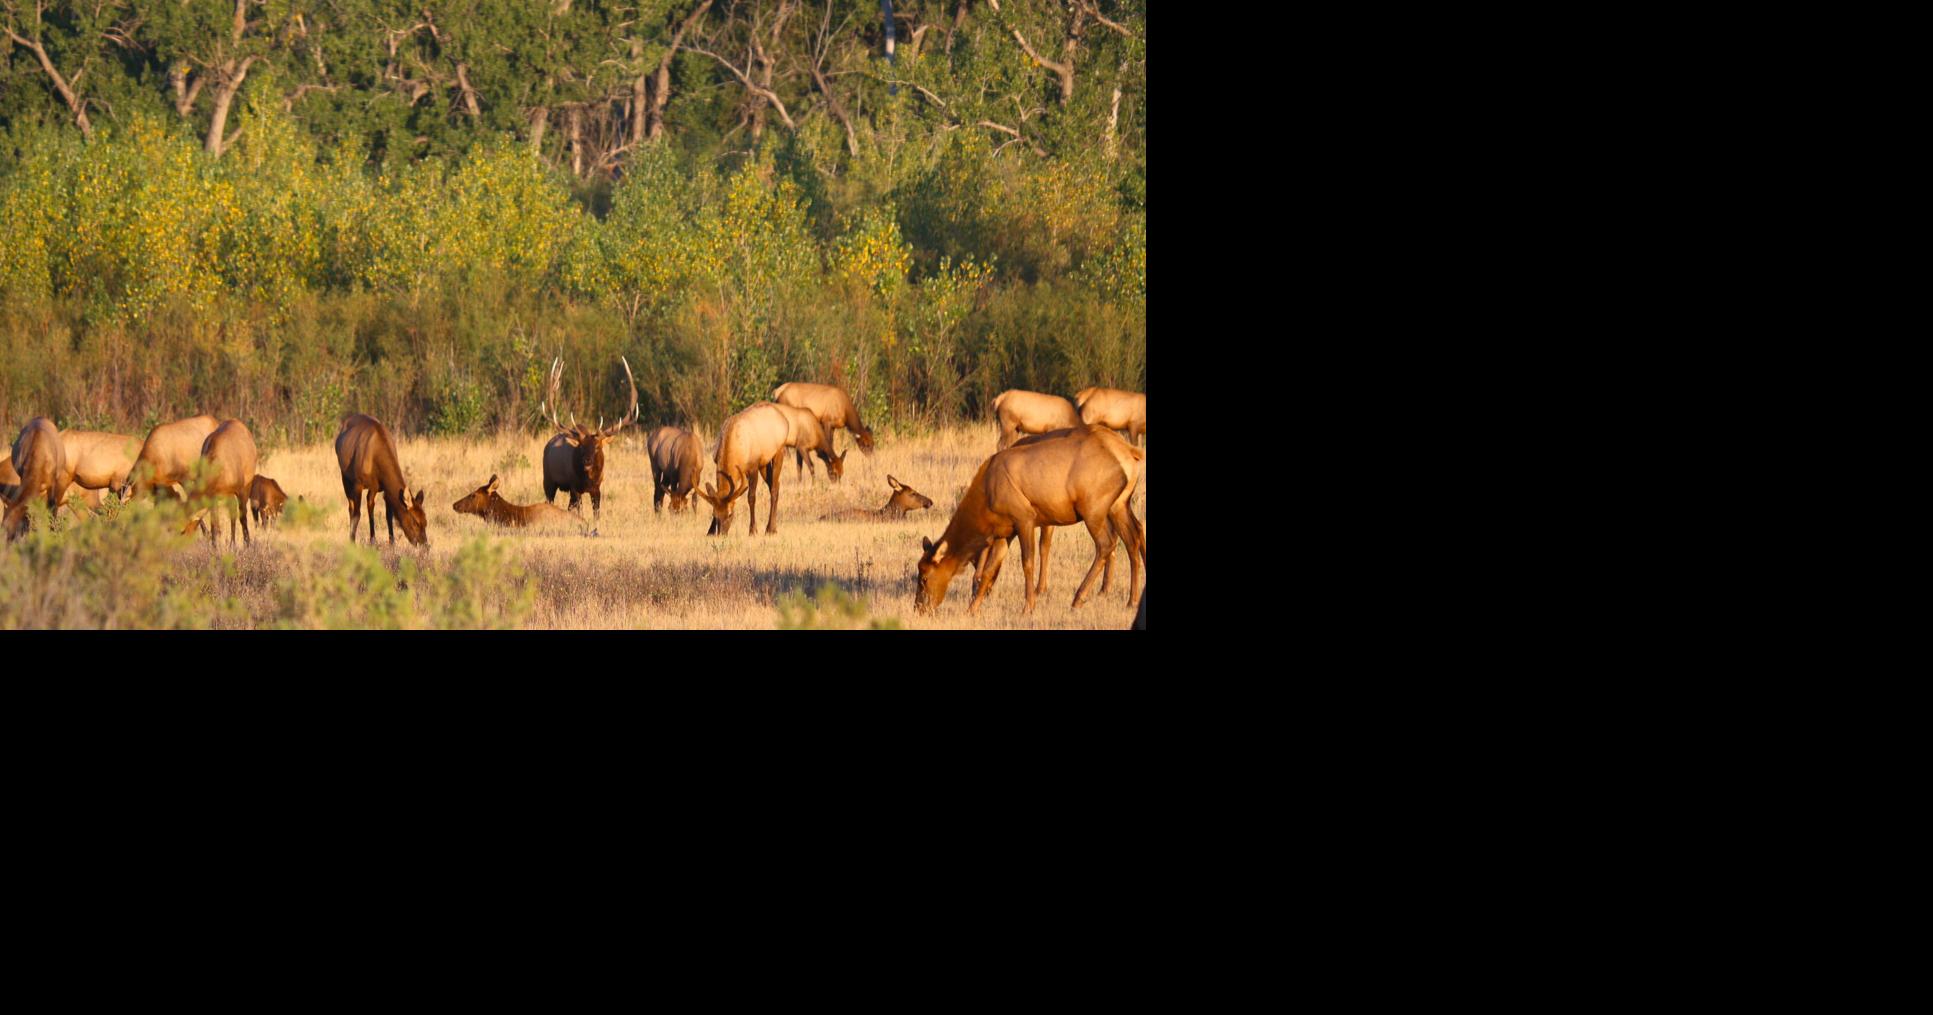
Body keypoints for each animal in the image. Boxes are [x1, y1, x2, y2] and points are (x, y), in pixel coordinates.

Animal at [335, 413, 428, 546]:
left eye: (425, 521)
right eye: (415, 521)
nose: (425, 545)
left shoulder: (381, 487)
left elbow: (387, 514)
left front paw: (390, 542)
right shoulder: (358, 483)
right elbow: (357, 514)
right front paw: (354, 542)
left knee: (369, 505)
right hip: (345, 477)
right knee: (351, 507)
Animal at [541, 355, 639, 526]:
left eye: (597, 447)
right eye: (580, 447)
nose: (587, 461)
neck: (588, 480)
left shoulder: (597, 488)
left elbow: (596, 513)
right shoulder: (574, 487)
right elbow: (581, 512)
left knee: (568, 507)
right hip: (548, 480)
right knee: (550, 500)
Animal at [697, 402, 790, 536]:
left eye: (730, 514)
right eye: (714, 515)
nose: (722, 533)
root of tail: (785, 420)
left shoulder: (753, 467)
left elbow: (751, 497)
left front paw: (753, 530)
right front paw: (709, 531)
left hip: (779, 452)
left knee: (774, 488)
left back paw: (770, 529)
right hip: (764, 464)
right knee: (774, 484)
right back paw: (773, 527)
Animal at [916, 426, 1145, 615]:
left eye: (925, 577)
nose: (920, 608)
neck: (986, 494)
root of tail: (1131, 454)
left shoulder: (1025, 518)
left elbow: (1028, 562)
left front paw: (1028, 606)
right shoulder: (1004, 532)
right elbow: (990, 569)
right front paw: (972, 609)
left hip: (1093, 509)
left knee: (1107, 544)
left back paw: (1078, 599)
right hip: (1119, 505)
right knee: (1133, 538)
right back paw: (1131, 601)